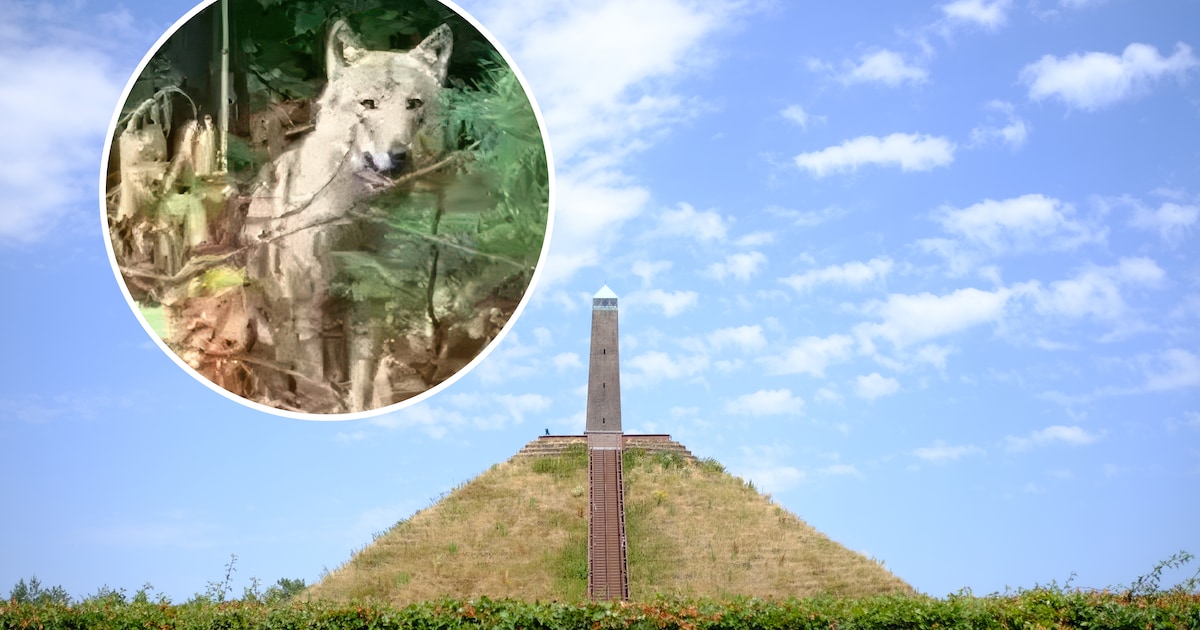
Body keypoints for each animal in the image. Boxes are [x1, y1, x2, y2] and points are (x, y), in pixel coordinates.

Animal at [242, 20, 453, 413]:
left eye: (413, 104)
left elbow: (362, 384)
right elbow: (315, 384)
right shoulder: (307, 307)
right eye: (368, 104)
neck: (359, 216)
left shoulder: (370, 305)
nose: (399, 155)